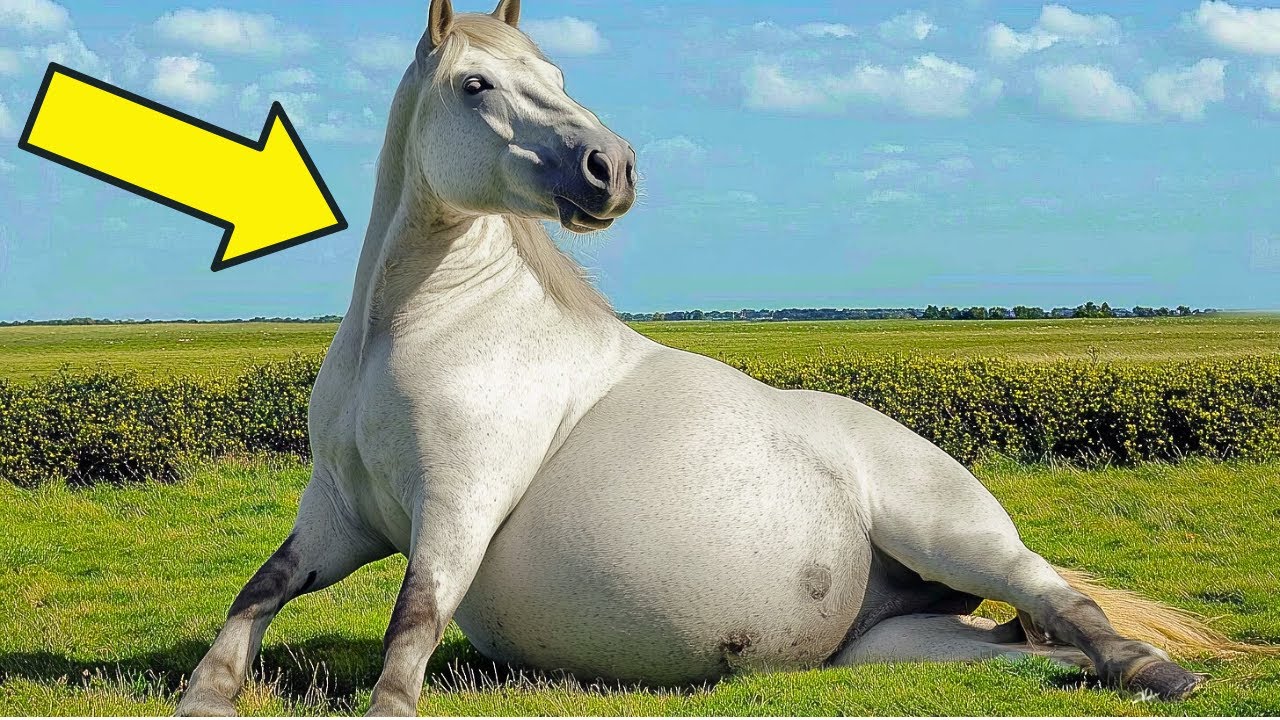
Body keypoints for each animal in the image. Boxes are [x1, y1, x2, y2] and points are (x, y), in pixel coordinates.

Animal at [177, 1, 1244, 715]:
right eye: (476, 85)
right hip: (897, 646)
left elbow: (415, 616)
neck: (425, 324)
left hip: (961, 538)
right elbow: (262, 588)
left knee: (1067, 603)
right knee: (1038, 645)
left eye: (557, 76)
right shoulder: (343, 515)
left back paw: (1164, 673)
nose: (611, 170)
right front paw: (207, 693)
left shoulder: (458, 505)